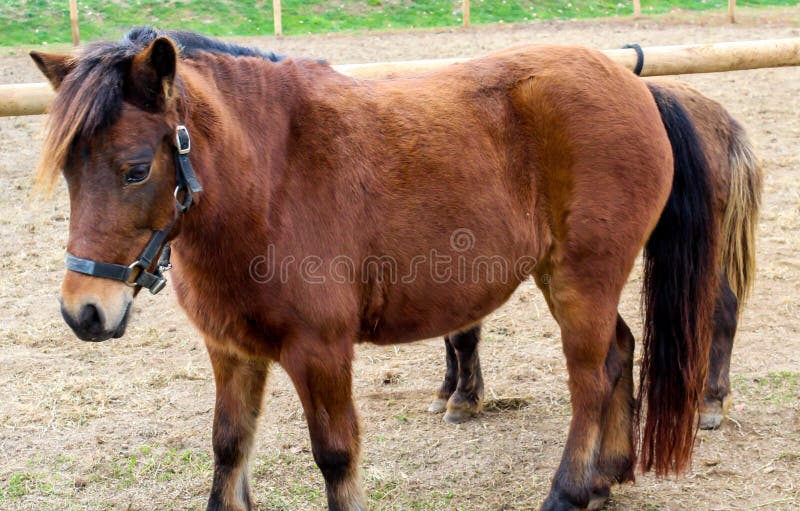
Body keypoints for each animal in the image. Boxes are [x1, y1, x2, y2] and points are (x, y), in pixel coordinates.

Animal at [32, 27, 721, 511]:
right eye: (68, 169)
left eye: (135, 170)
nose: (83, 311)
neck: (269, 181)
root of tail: (638, 87)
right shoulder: (232, 352)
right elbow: (229, 448)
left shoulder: (320, 353)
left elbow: (336, 458)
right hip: (572, 283)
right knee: (620, 352)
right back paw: (607, 478)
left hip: (582, 282)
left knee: (591, 379)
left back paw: (570, 491)